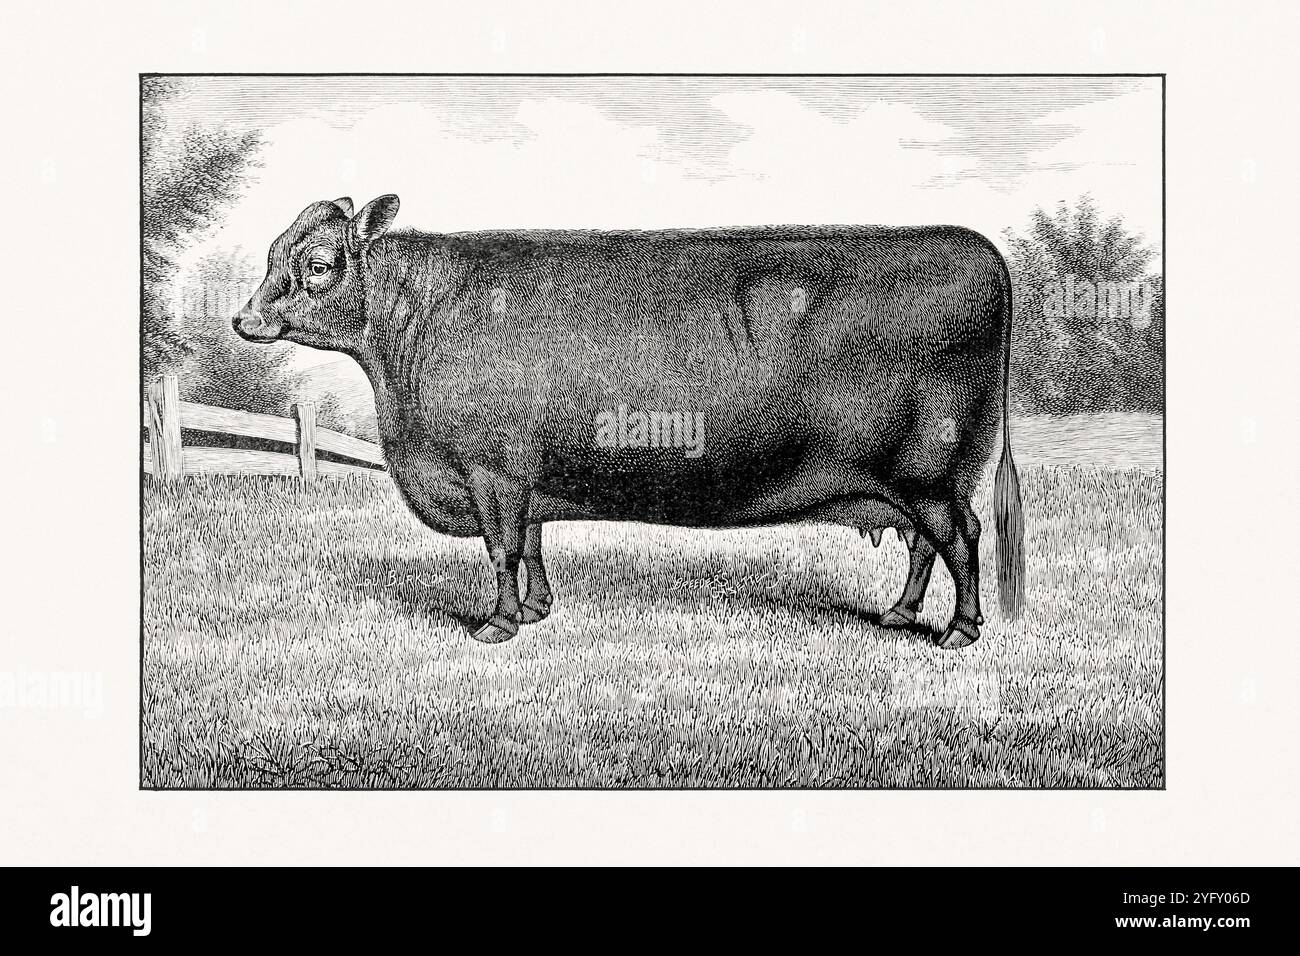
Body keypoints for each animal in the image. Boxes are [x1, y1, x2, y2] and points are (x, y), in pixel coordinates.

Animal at [235, 195, 1025, 650]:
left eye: (318, 263)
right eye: (273, 252)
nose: (244, 319)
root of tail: (982, 250)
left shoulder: (491, 473)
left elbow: (501, 550)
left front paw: (496, 625)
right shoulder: (527, 478)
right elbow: (531, 545)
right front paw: (536, 610)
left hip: (930, 470)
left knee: (961, 538)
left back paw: (958, 632)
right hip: (913, 479)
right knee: (925, 544)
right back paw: (900, 614)